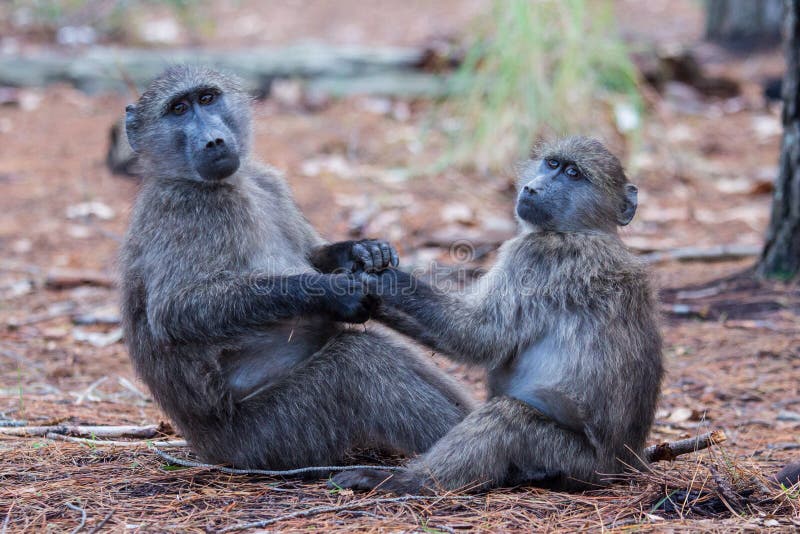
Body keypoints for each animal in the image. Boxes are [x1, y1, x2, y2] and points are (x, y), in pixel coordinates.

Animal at [120, 65, 474, 470]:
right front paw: (337, 293)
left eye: (207, 99)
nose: (213, 141)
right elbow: (176, 311)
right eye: (178, 109)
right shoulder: (184, 209)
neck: (228, 182)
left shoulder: (269, 183)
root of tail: (206, 449)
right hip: (269, 439)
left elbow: (312, 254)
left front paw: (364, 252)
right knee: (359, 362)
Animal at [331, 136, 664, 493]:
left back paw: (405, 481)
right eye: (552, 164)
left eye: (574, 173)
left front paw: (386, 280)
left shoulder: (534, 256)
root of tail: (625, 464)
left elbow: (481, 338)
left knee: (505, 417)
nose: (532, 188)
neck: (587, 230)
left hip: (577, 463)